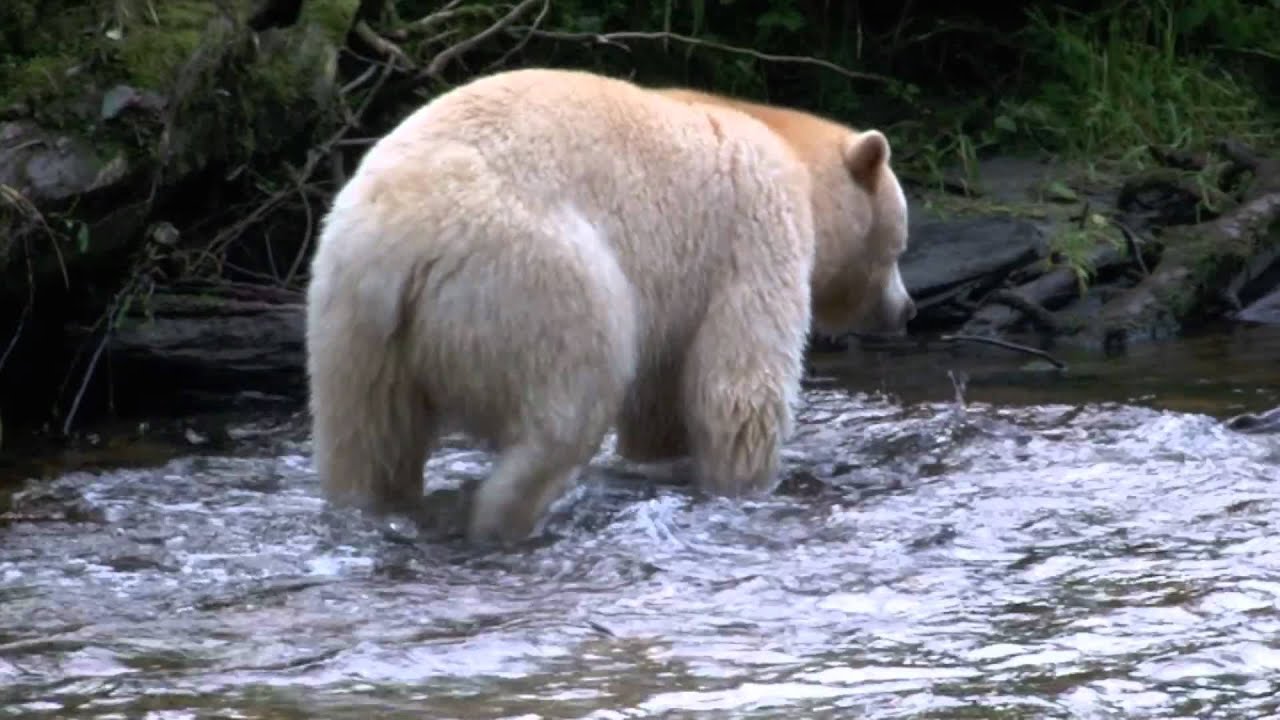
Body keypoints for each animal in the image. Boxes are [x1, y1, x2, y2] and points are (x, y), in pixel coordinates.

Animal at [304, 67, 912, 547]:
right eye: (897, 247)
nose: (906, 310)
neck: (784, 144)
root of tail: (402, 241)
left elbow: (659, 399)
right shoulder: (753, 227)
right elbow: (738, 389)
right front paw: (749, 485)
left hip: (350, 320)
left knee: (367, 442)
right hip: (535, 278)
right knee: (570, 403)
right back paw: (509, 518)